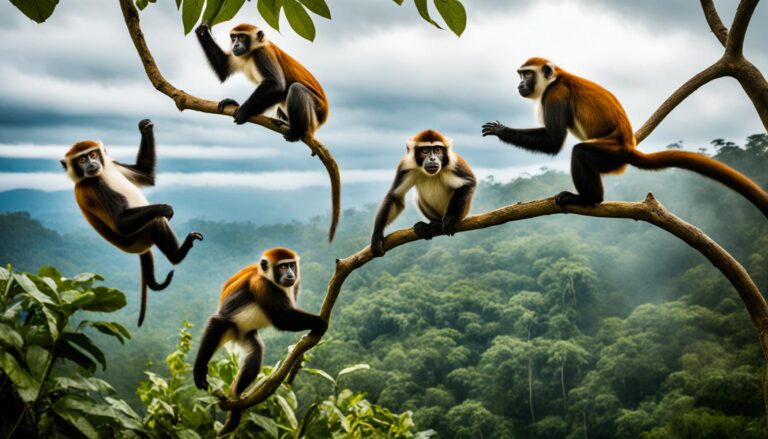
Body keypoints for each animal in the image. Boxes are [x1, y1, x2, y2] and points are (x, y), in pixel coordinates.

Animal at [61, 119, 203, 326]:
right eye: (81, 160)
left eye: (93, 154)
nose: (92, 164)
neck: (98, 175)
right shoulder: (92, 186)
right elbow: (121, 223)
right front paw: (163, 208)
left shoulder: (110, 164)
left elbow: (146, 174)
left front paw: (145, 128)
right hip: (140, 236)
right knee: (155, 222)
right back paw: (178, 255)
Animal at [193, 248, 326, 434]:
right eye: (282, 266)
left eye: (291, 265)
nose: (290, 274)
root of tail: (235, 333)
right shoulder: (260, 283)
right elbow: (283, 318)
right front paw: (319, 322)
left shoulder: (296, 283)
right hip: (227, 326)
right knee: (218, 321)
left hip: (245, 334)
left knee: (256, 352)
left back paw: (235, 396)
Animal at [482, 57, 768, 216]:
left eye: (527, 74)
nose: (520, 84)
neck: (557, 78)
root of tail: (628, 147)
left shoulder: (555, 94)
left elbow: (554, 142)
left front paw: (500, 131)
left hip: (611, 154)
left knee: (580, 152)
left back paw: (590, 199)